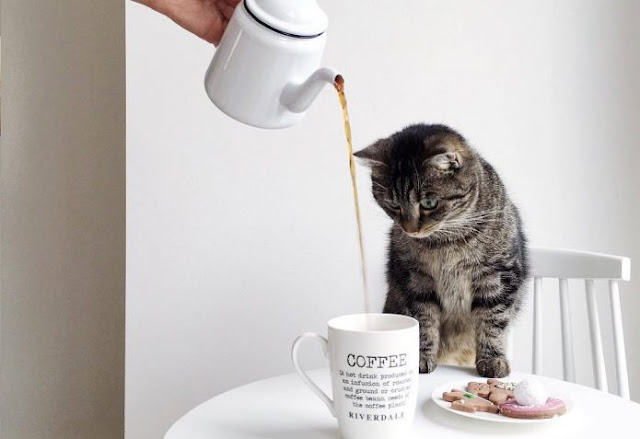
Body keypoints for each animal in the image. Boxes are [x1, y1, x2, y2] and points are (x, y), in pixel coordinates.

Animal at [352, 124, 528, 378]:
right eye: (393, 204)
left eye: (429, 203)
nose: (410, 229)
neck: (446, 241)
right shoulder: (414, 279)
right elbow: (422, 321)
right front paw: (420, 358)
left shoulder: (497, 276)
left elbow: (492, 321)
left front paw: (492, 359)